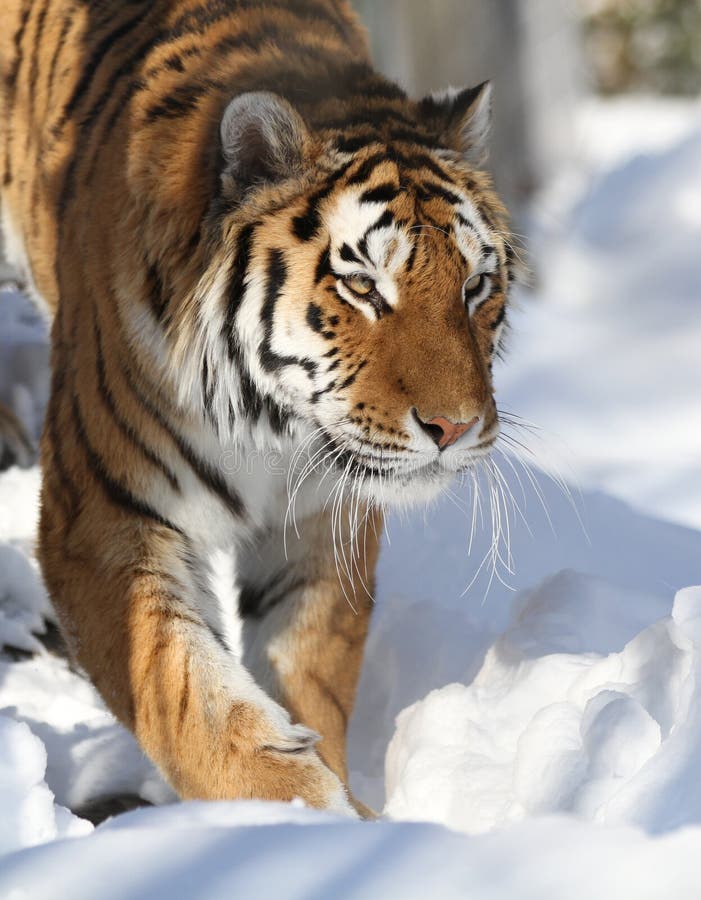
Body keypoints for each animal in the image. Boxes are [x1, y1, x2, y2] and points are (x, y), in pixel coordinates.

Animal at [0, 0, 513, 817]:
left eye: (475, 286)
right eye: (363, 286)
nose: (454, 427)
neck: (272, 424)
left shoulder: (324, 518)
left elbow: (308, 673)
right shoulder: (105, 520)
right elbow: (187, 698)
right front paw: (302, 813)